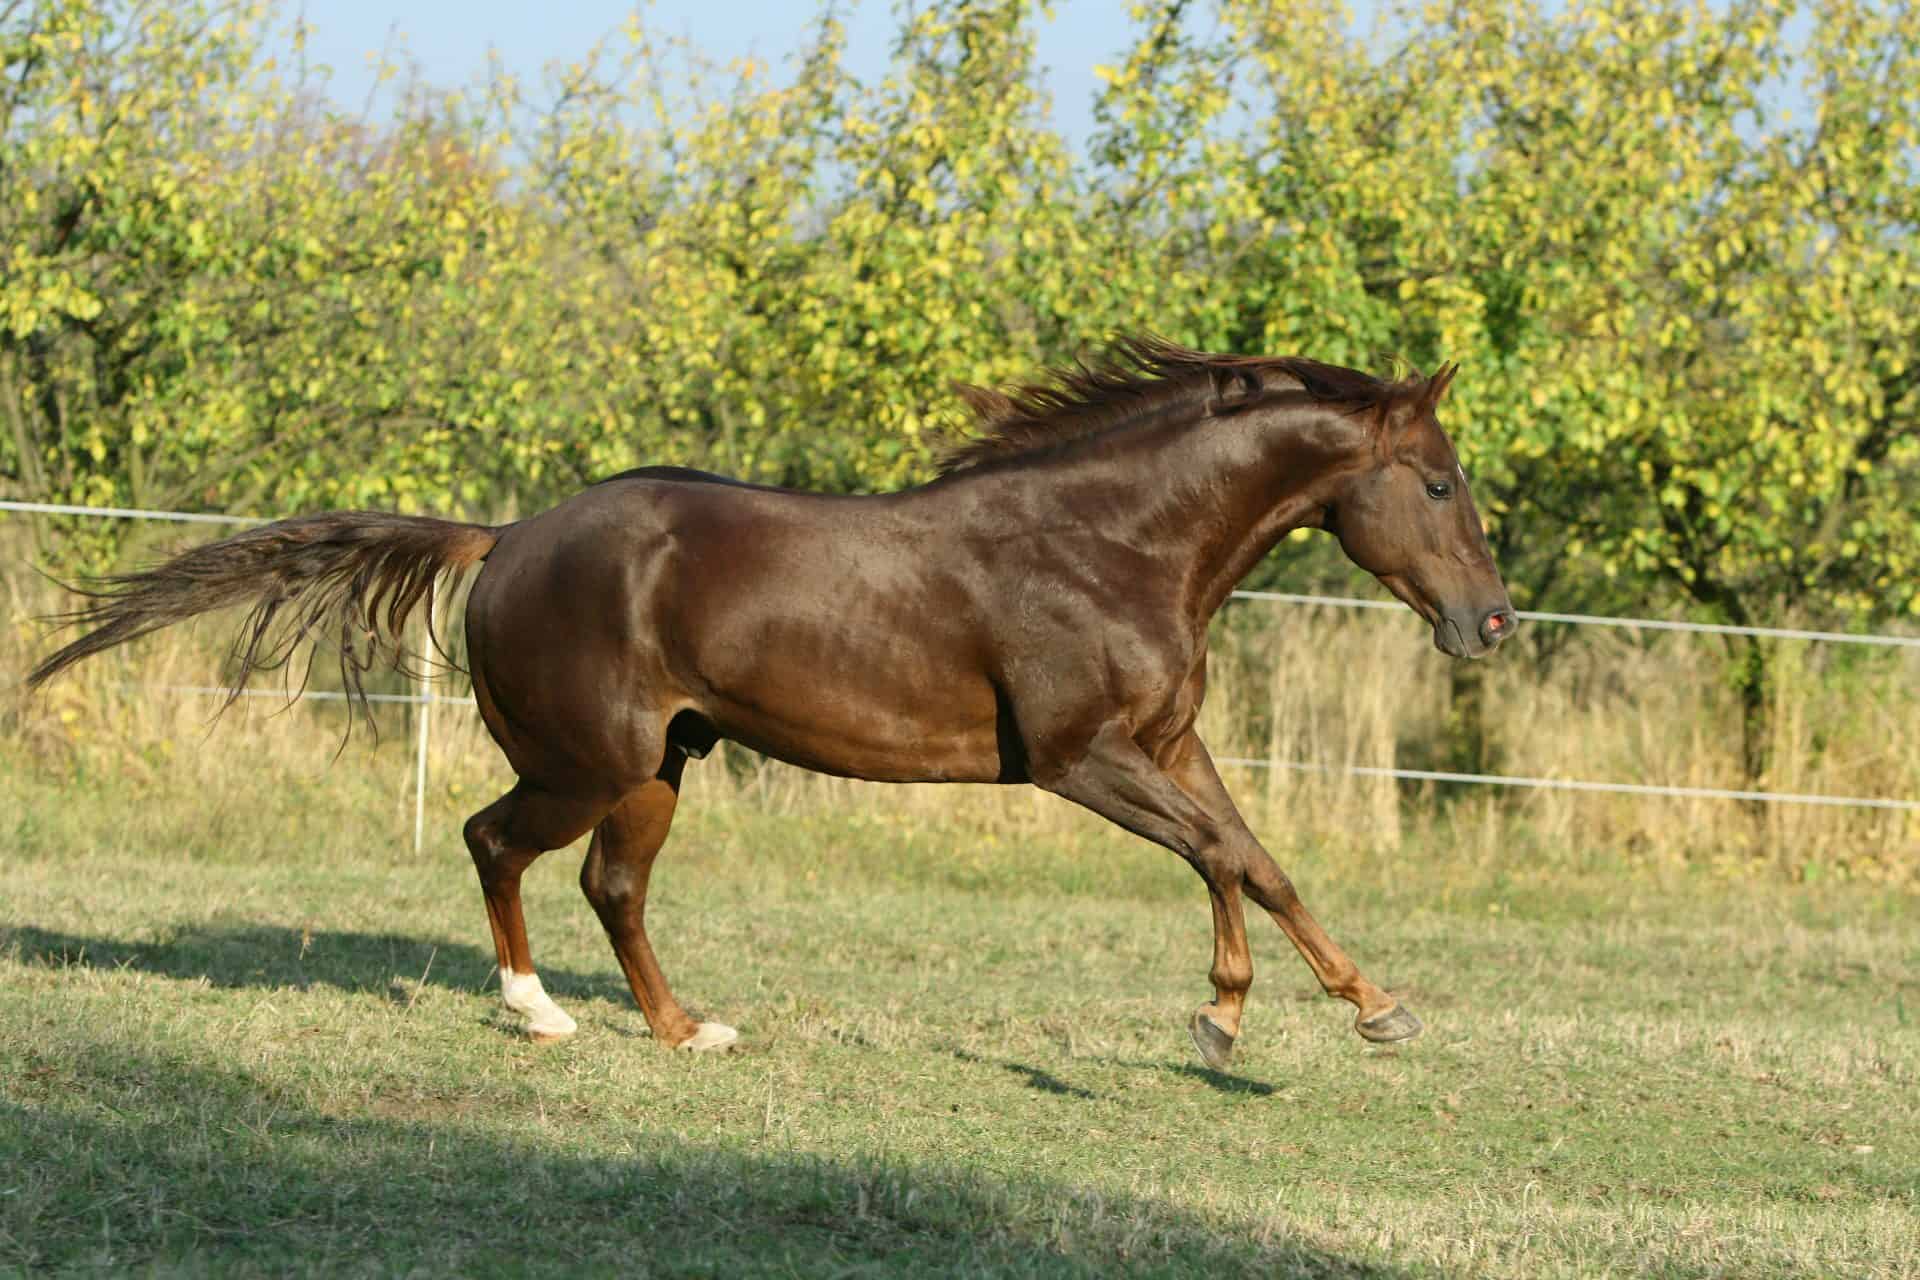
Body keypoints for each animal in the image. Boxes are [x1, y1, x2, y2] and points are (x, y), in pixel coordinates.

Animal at [29, 336, 1515, 1069]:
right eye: (1439, 480)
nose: (1490, 621)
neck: (1111, 541)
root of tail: (503, 539)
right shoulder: (1080, 755)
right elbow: (1221, 853)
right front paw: (1240, 1020)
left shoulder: (1166, 740)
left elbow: (1254, 857)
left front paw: (1344, 1008)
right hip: (591, 761)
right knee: (495, 843)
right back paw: (540, 1014)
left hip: (659, 766)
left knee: (611, 888)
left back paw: (687, 1031)